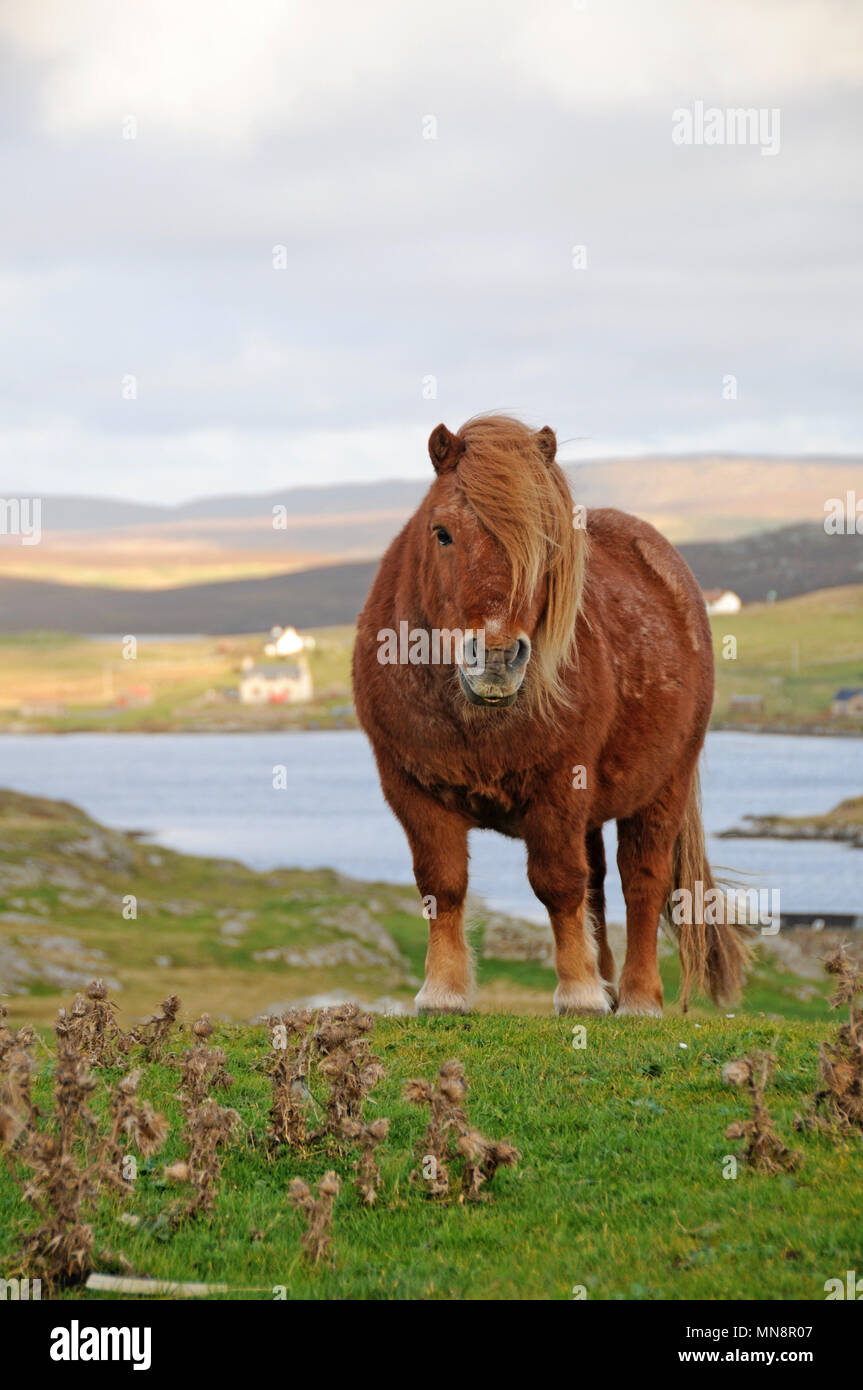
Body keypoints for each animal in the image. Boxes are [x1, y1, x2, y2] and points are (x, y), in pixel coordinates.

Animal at [352, 414, 750, 1016]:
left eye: (544, 544)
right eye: (442, 533)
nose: (495, 657)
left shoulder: (559, 789)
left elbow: (558, 883)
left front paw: (578, 993)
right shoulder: (411, 788)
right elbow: (441, 883)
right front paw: (443, 992)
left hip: (664, 786)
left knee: (642, 880)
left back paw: (636, 998)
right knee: (600, 886)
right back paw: (610, 986)